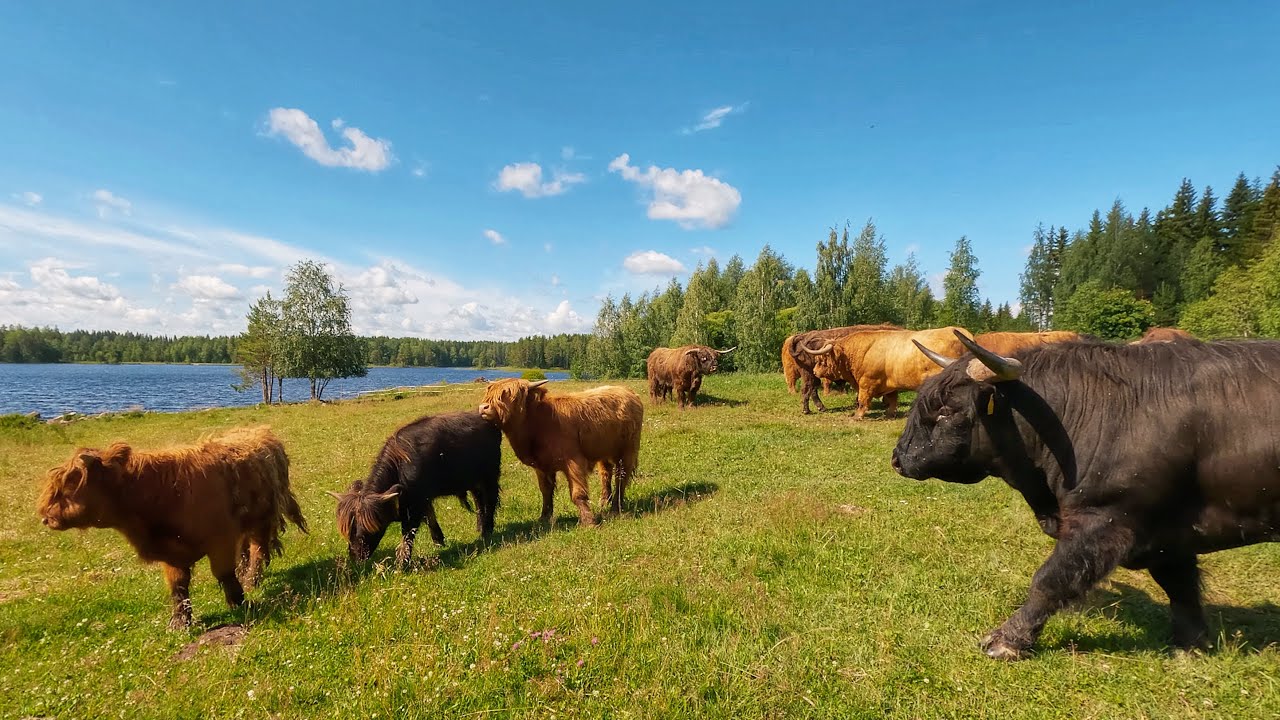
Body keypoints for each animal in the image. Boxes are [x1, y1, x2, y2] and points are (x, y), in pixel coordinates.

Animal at [36, 426, 307, 630]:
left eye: (69, 484)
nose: (45, 517)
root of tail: (260, 431)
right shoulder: (172, 555)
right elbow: (178, 588)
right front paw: (179, 622)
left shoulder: (219, 541)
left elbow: (224, 574)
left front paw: (239, 602)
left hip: (261, 520)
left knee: (257, 549)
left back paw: (251, 580)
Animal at [328, 411, 502, 568]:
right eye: (349, 530)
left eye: (370, 529)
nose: (356, 556)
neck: (400, 467)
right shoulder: (421, 498)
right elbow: (429, 517)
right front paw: (438, 540)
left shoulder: (414, 506)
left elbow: (408, 532)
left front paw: (402, 561)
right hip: (473, 480)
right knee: (479, 500)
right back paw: (480, 527)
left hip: (490, 476)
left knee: (490, 500)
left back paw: (487, 530)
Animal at [479, 379, 644, 527]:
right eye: (489, 393)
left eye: (509, 395)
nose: (483, 407)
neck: (538, 424)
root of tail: (628, 391)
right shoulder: (541, 466)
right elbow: (545, 491)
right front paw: (544, 517)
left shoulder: (574, 461)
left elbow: (578, 493)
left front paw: (588, 521)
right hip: (603, 451)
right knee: (606, 474)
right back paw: (604, 501)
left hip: (628, 450)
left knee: (621, 477)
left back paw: (615, 508)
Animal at [802, 326, 973, 419]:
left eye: (822, 358)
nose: (815, 371)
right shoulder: (890, 385)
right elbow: (892, 400)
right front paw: (889, 413)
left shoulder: (867, 382)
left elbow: (863, 400)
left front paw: (858, 415)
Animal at [892, 330, 1280, 659]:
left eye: (946, 410)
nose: (897, 457)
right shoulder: (1167, 532)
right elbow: (1180, 588)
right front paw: (1191, 644)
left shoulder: (1107, 520)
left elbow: (1050, 579)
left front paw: (1007, 640)